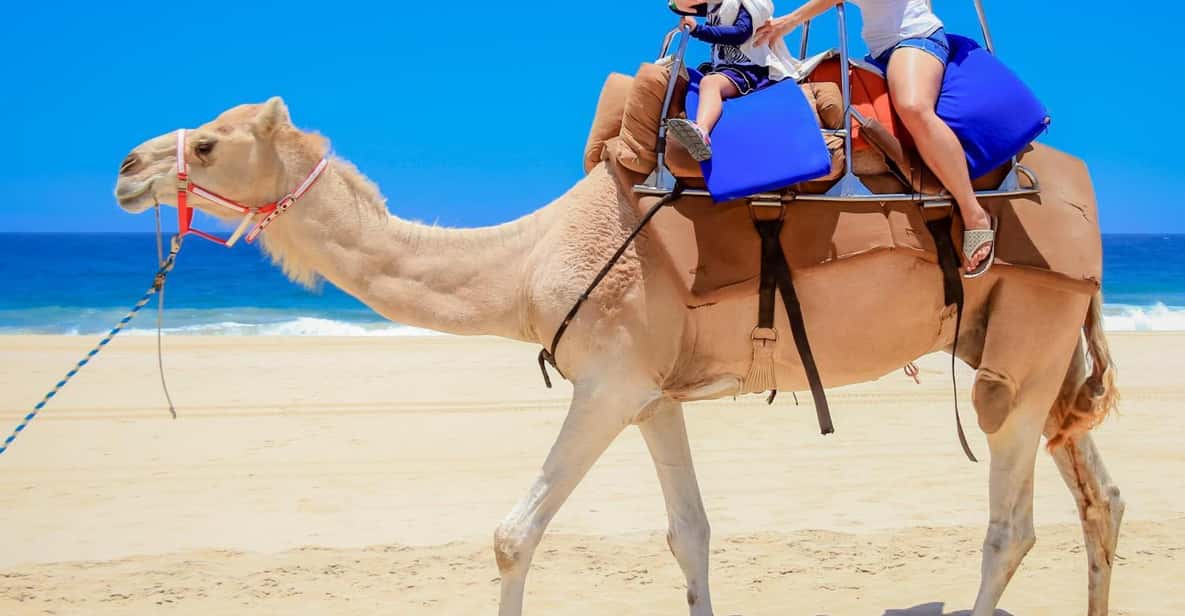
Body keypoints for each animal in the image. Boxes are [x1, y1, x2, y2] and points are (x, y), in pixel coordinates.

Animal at [113, 97, 1123, 616]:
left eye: (209, 142)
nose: (126, 169)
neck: (525, 262)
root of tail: (1080, 204)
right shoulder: (651, 395)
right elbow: (690, 536)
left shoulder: (606, 379)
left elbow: (512, 534)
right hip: (1034, 344)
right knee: (1097, 500)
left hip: (1022, 340)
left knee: (1009, 523)